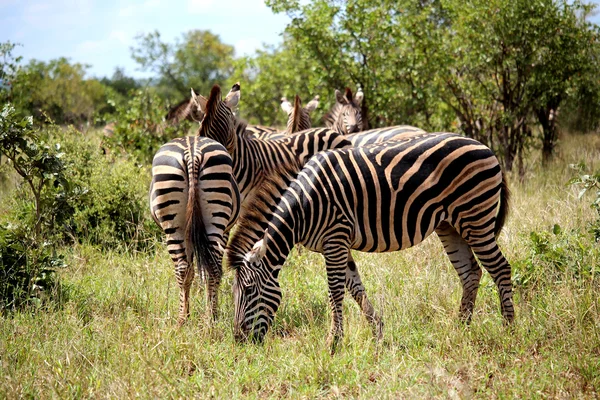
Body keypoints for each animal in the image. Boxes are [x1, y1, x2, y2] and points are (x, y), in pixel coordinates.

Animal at [149, 136, 240, 324]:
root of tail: (192, 153)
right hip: (211, 220)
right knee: (206, 268)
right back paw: (206, 317)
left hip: (177, 224)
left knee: (189, 269)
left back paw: (189, 318)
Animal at [227, 133, 512, 352]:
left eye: (249, 290)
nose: (239, 340)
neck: (303, 207)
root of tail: (486, 147)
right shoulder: (338, 244)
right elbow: (355, 288)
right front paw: (378, 332)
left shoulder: (335, 238)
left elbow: (335, 291)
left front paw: (333, 343)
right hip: (450, 225)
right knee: (470, 273)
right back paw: (461, 326)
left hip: (476, 218)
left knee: (500, 268)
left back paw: (508, 327)